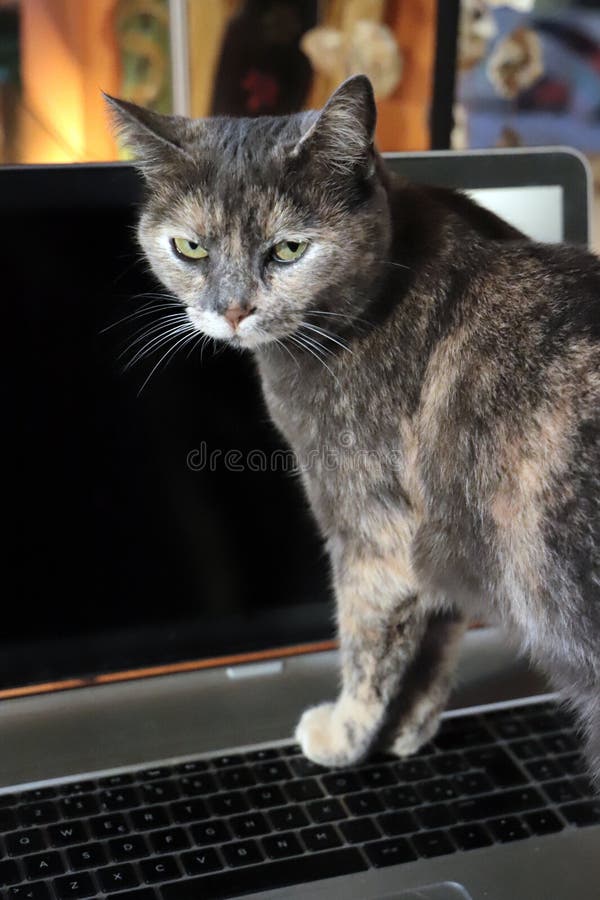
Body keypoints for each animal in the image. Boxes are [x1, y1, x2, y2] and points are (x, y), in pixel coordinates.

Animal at [106, 75, 600, 783]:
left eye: (289, 248)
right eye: (191, 247)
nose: (232, 310)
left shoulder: (373, 531)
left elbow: (367, 646)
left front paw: (344, 735)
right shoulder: (446, 536)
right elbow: (436, 639)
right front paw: (409, 728)